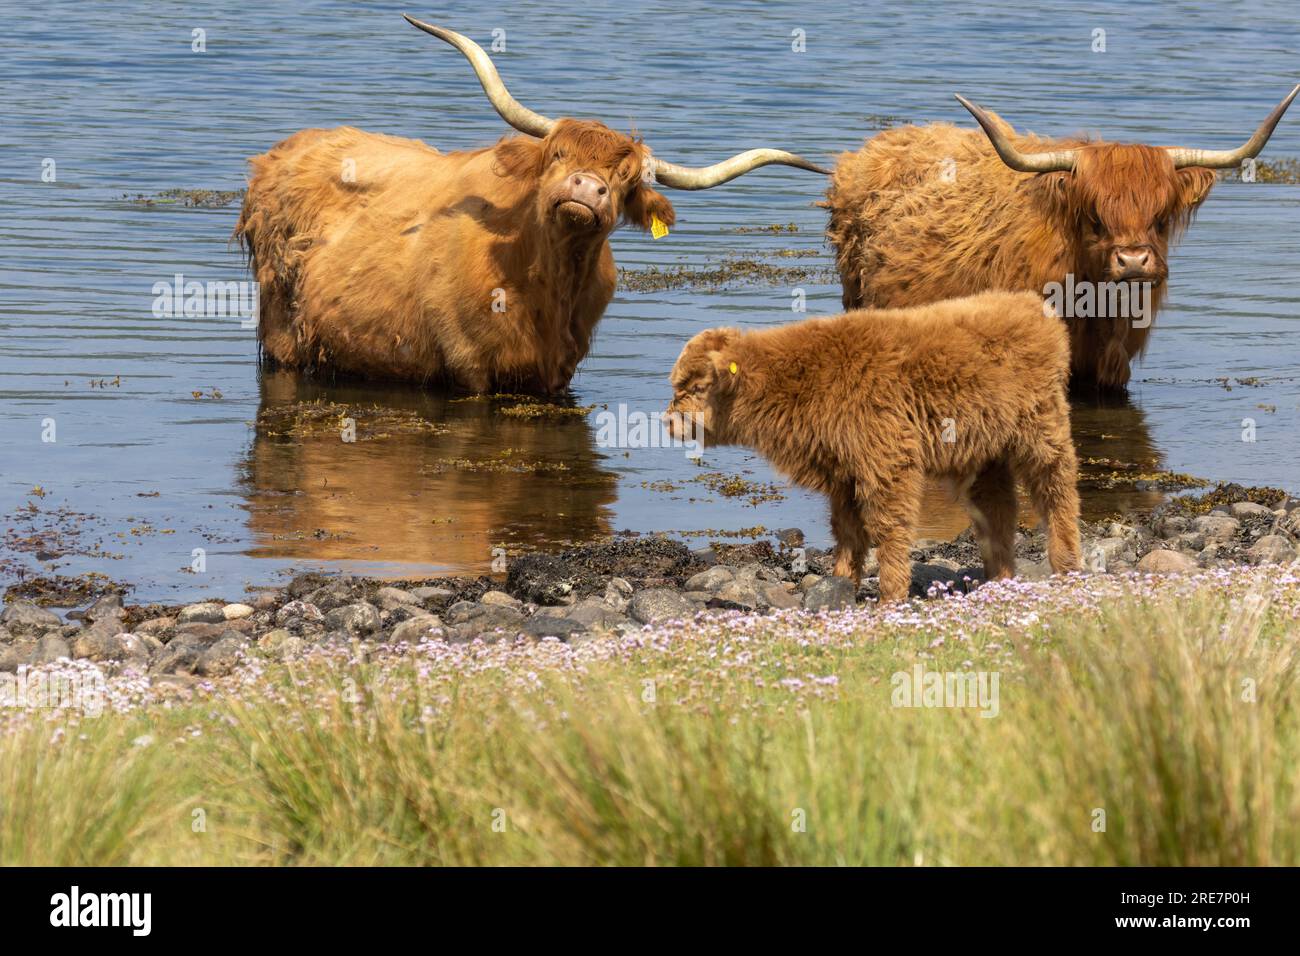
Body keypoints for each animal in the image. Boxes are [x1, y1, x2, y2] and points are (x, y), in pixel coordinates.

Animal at [235, 17, 828, 395]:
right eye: (558, 154)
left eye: (626, 178)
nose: (587, 187)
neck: (543, 284)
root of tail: (279, 154)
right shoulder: (469, 370)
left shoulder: (558, 371)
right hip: (283, 337)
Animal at [663, 291, 1082, 604]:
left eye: (697, 386)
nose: (667, 420)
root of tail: (1032, 306)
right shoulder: (845, 474)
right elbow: (848, 532)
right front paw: (842, 582)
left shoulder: (888, 458)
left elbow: (889, 527)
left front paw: (890, 594)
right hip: (986, 454)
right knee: (997, 511)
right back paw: (999, 578)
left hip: (1043, 432)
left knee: (1057, 493)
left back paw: (1066, 564)